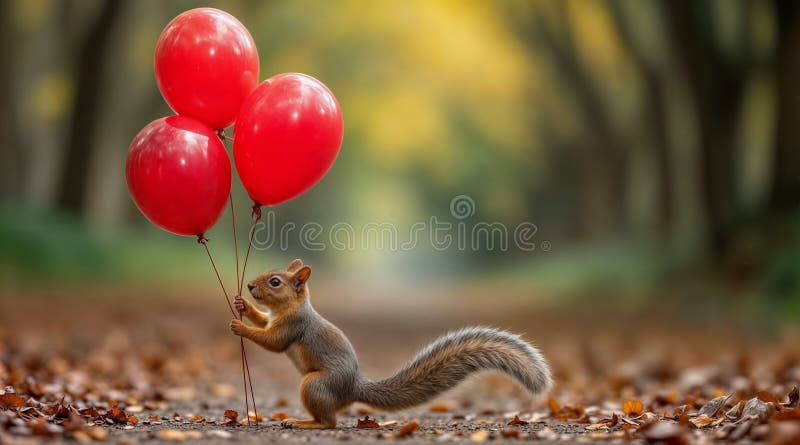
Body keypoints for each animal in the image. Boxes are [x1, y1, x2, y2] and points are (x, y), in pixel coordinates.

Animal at [230, 259, 553, 429]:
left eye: (275, 282)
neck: (289, 308)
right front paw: (243, 306)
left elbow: (272, 341)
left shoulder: (293, 326)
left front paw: (240, 327)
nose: (250, 286)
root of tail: (354, 387)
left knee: (330, 422)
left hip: (314, 384)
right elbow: (263, 322)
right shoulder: (274, 318)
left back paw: (301, 423)